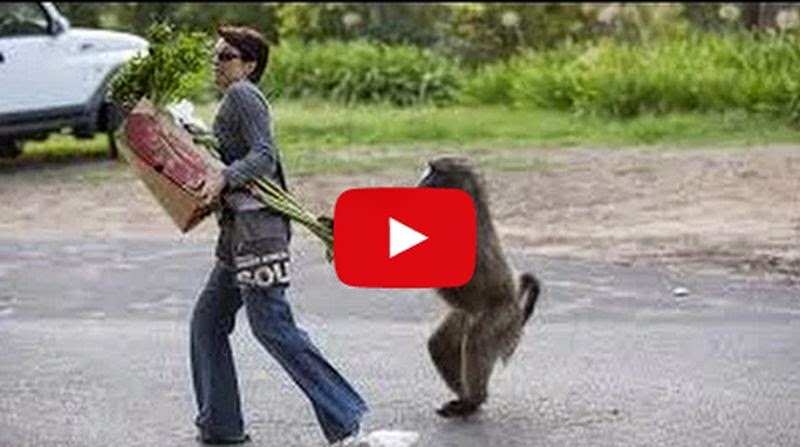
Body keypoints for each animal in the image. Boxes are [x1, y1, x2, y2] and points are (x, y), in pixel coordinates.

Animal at [417, 156, 541, 418]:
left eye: (434, 172)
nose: (420, 183)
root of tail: (514, 299)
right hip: (466, 315)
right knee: (440, 345)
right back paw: (466, 399)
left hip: (500, 318)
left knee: (476, 343)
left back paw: (473, 401)